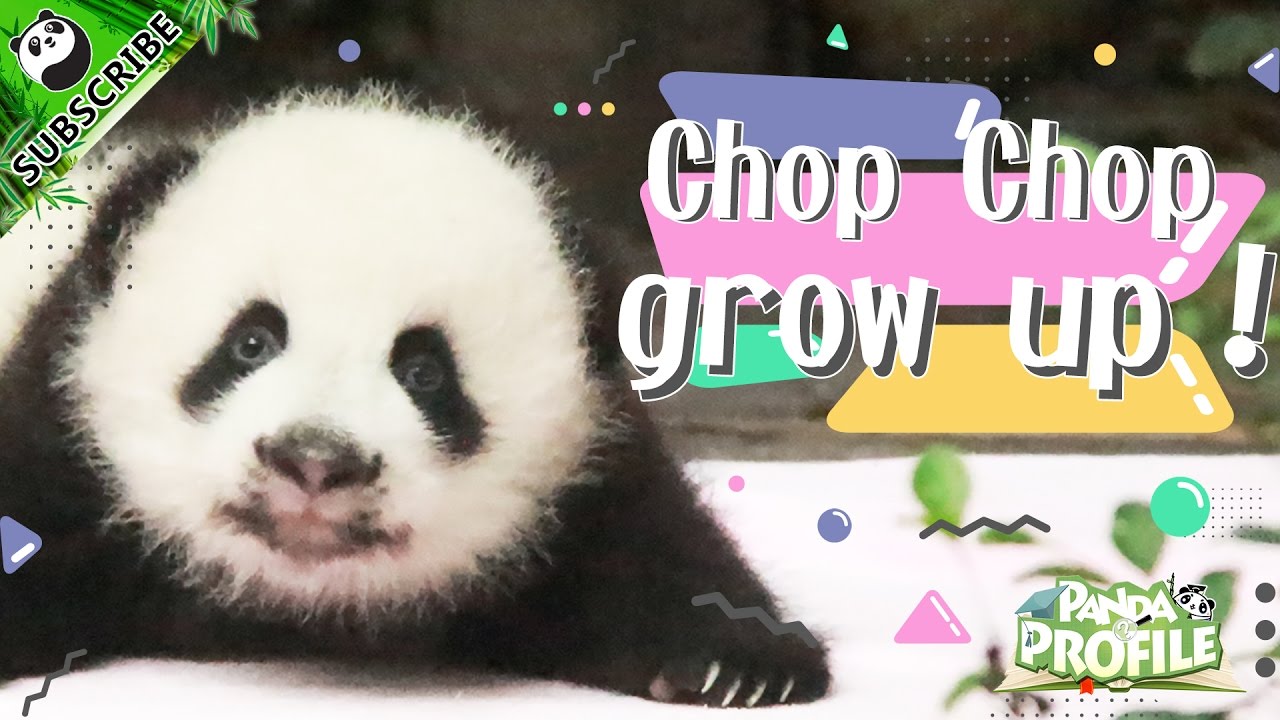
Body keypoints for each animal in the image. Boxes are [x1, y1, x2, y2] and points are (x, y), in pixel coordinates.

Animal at [0, 84, 830, 709]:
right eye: (251, 342)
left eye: (426, 372)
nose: (314, 460)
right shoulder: (59, 425)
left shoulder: (586, 462)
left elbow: (647, 549)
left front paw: (741, 662)